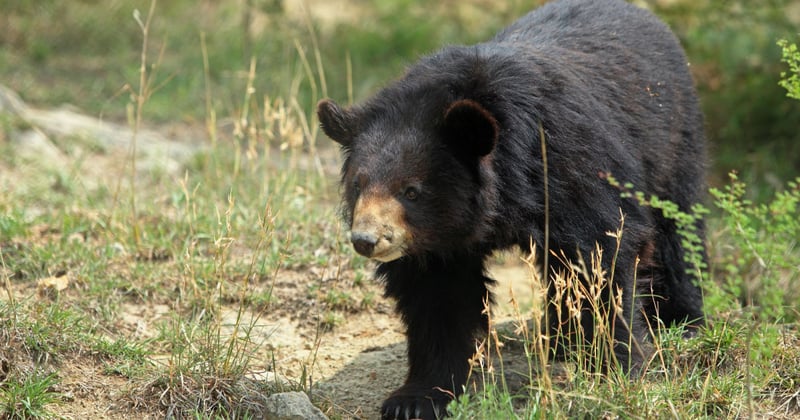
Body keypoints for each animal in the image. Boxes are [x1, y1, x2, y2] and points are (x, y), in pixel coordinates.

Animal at [317, 0, 706, 418]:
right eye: (358, 184)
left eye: (412, 191)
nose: (366, 239)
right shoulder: (436, 242)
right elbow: (437, 301)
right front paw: (416, 399)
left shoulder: (570, 165)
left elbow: (601, 260)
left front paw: (616, 367)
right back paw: (560, 341)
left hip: (673, 142)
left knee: (676, 233)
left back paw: (680, 322)